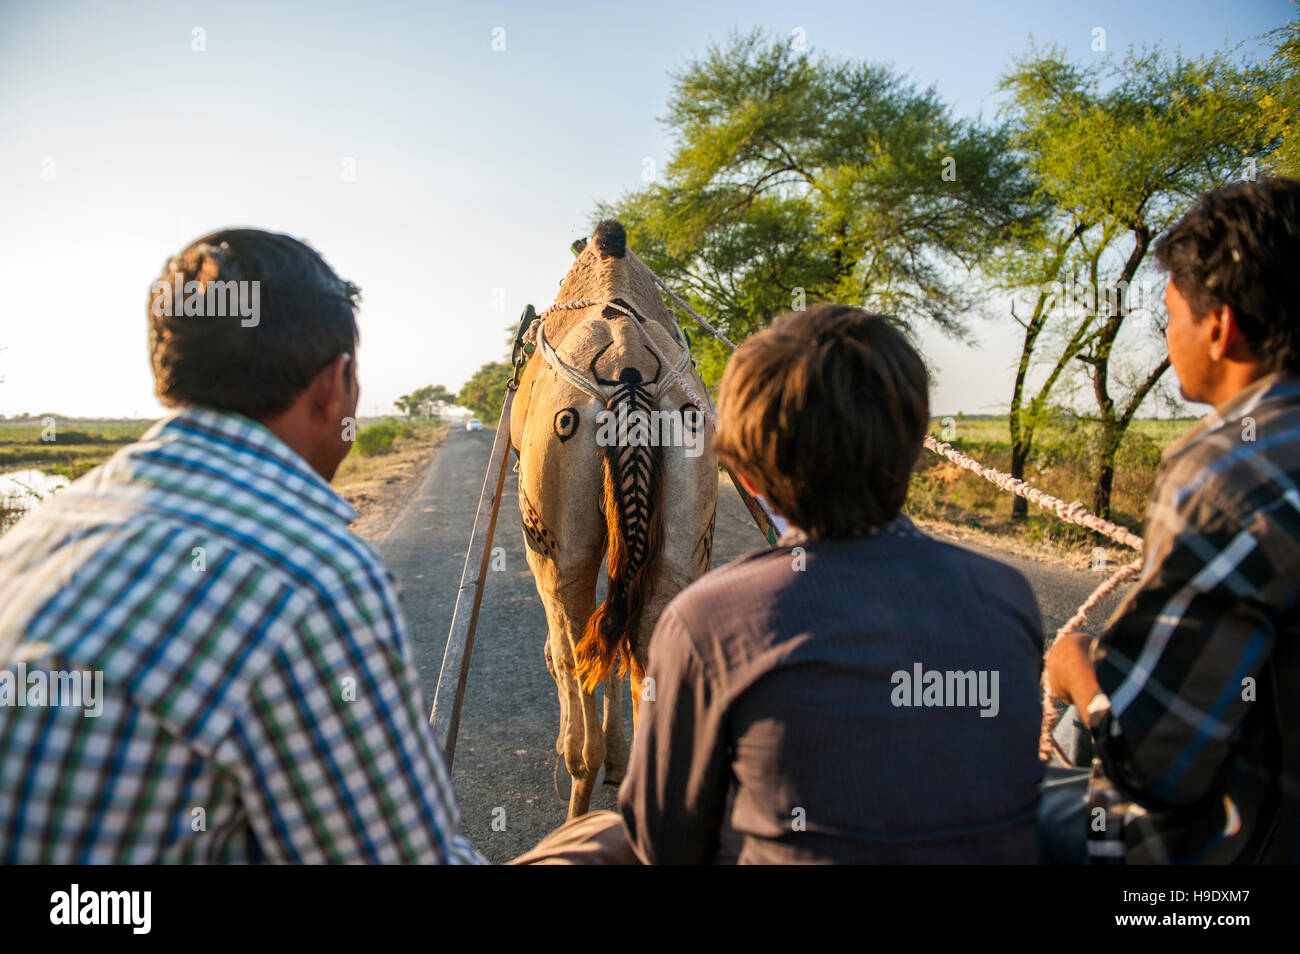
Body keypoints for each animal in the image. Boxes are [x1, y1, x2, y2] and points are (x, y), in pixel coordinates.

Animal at [510, 220, 718, 819]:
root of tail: (628, 370)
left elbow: (568, 653)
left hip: (554, 546)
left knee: (573, 643)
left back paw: (578, 790)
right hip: (684, 538)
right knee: (638, 639)